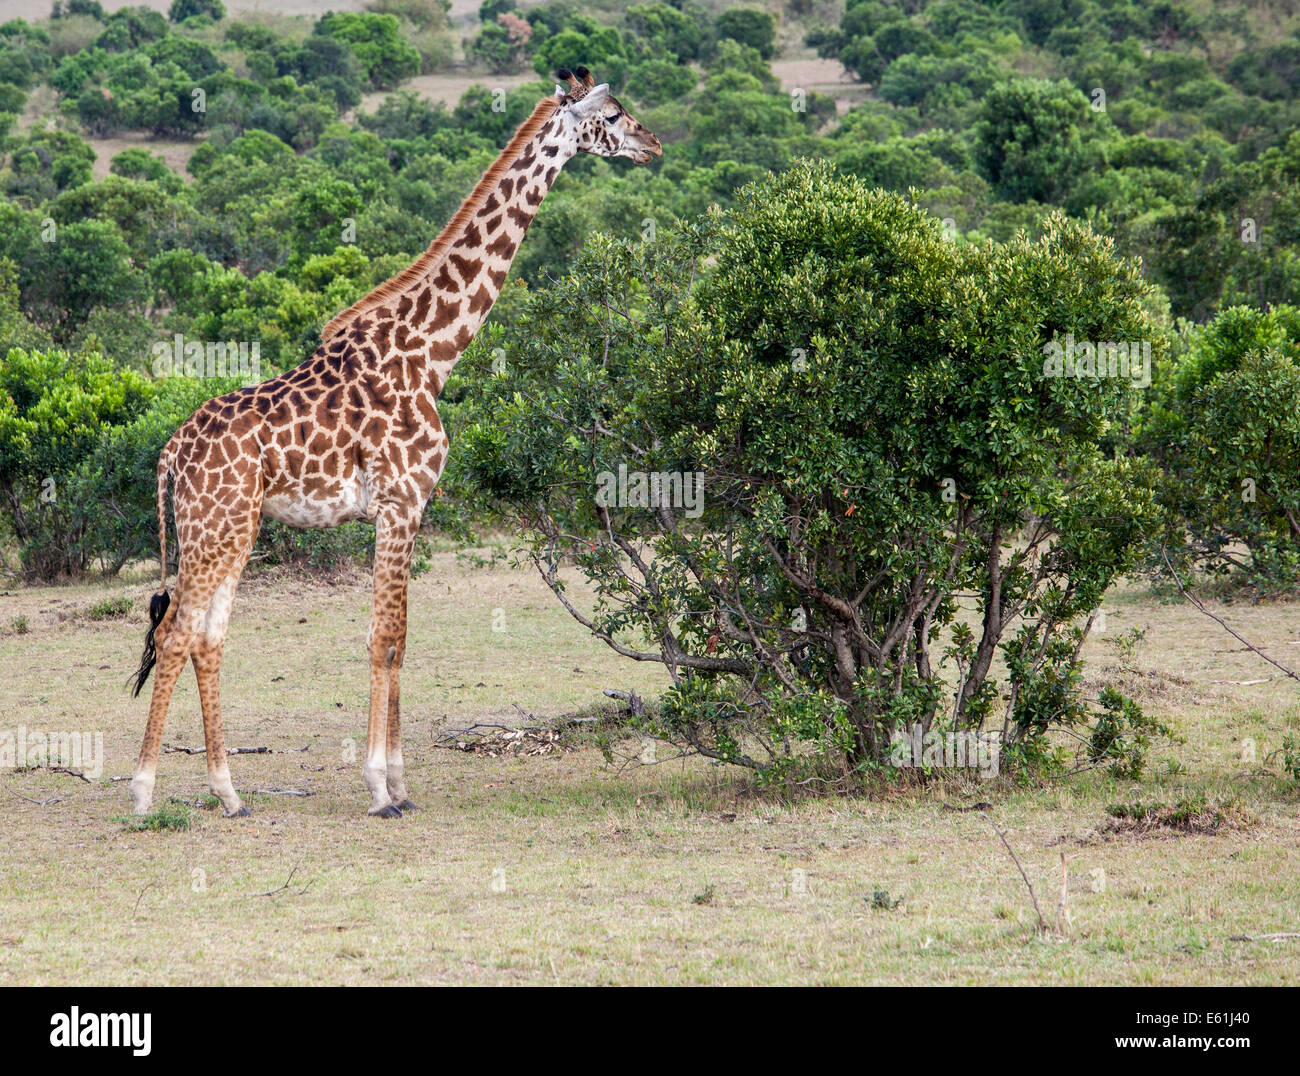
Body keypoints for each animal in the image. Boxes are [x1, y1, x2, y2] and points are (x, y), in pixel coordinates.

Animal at [127, 67, 661, 818]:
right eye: (611, 114)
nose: (654, 144)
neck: (434, 352)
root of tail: (171, 453)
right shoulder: (399, 503)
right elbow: (383, 638)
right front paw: (380, 787)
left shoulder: (412, 508)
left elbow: (402, 638)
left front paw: (403, 783)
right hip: (215, 527)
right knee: (176, 634)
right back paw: (145, 791)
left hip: (231, 528)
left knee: (206, 637)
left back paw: (229, 793)